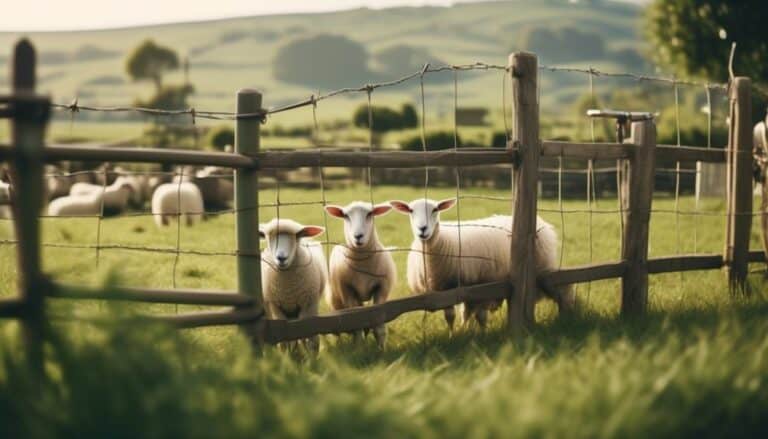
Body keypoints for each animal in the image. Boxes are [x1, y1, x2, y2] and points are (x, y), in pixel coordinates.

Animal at [259, 218, 327, 352]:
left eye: (297, 236)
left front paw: (309, 355)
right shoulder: (275, 307)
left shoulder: (308, 305)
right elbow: (284, 341)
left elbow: (306, 334)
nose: (281, 257)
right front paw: (287, 354)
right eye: (268, 237)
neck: (288, 288)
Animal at [324, 202, 397, 348]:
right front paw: (358, 347)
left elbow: (379, 326)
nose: (358, 236)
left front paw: (381, 349)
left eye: (370, 214)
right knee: (337, 329)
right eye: (345, 216)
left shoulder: (382, 289)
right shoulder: (347, 292)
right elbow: (356, 323)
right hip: (335, 299)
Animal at [389, 198, 574, 329]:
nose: (423, 229)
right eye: (411, 210)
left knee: (561, 289)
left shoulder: (481, 286)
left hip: (541, 268)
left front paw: (479, 333)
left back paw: (568, 316)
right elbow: (453, 317)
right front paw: (457, 334)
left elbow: (480, 317)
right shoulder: (444, 291)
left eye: (435, 210)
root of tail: (542, 223)